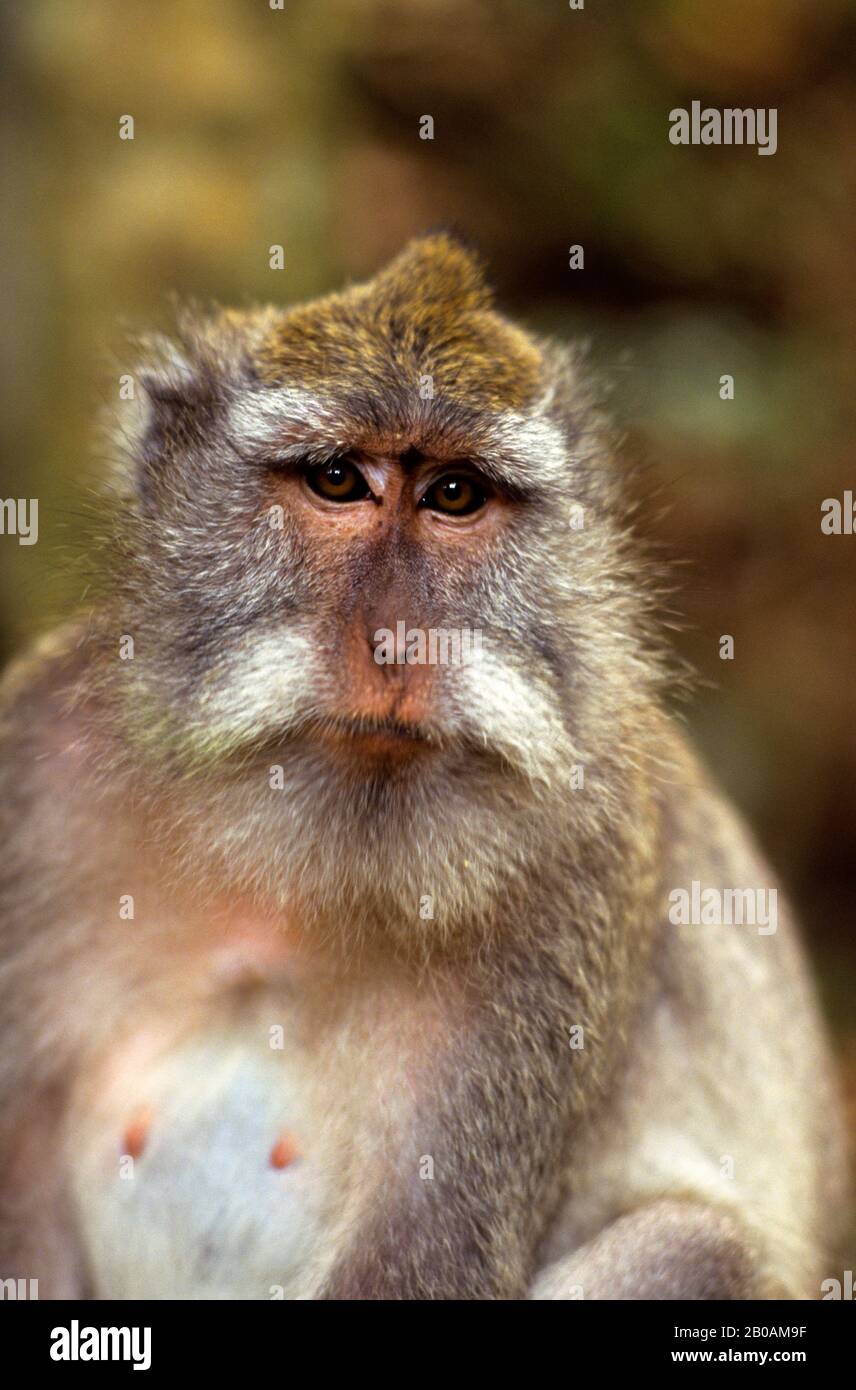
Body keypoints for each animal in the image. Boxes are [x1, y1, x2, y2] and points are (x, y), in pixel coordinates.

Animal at [0, 233, 847, 1300]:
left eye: (455, 494)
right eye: (336, 480)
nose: (400, 642)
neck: (288, 861)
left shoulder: (575, 880)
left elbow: (424, 1255)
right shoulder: (35, 769)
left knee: (702, 1250)